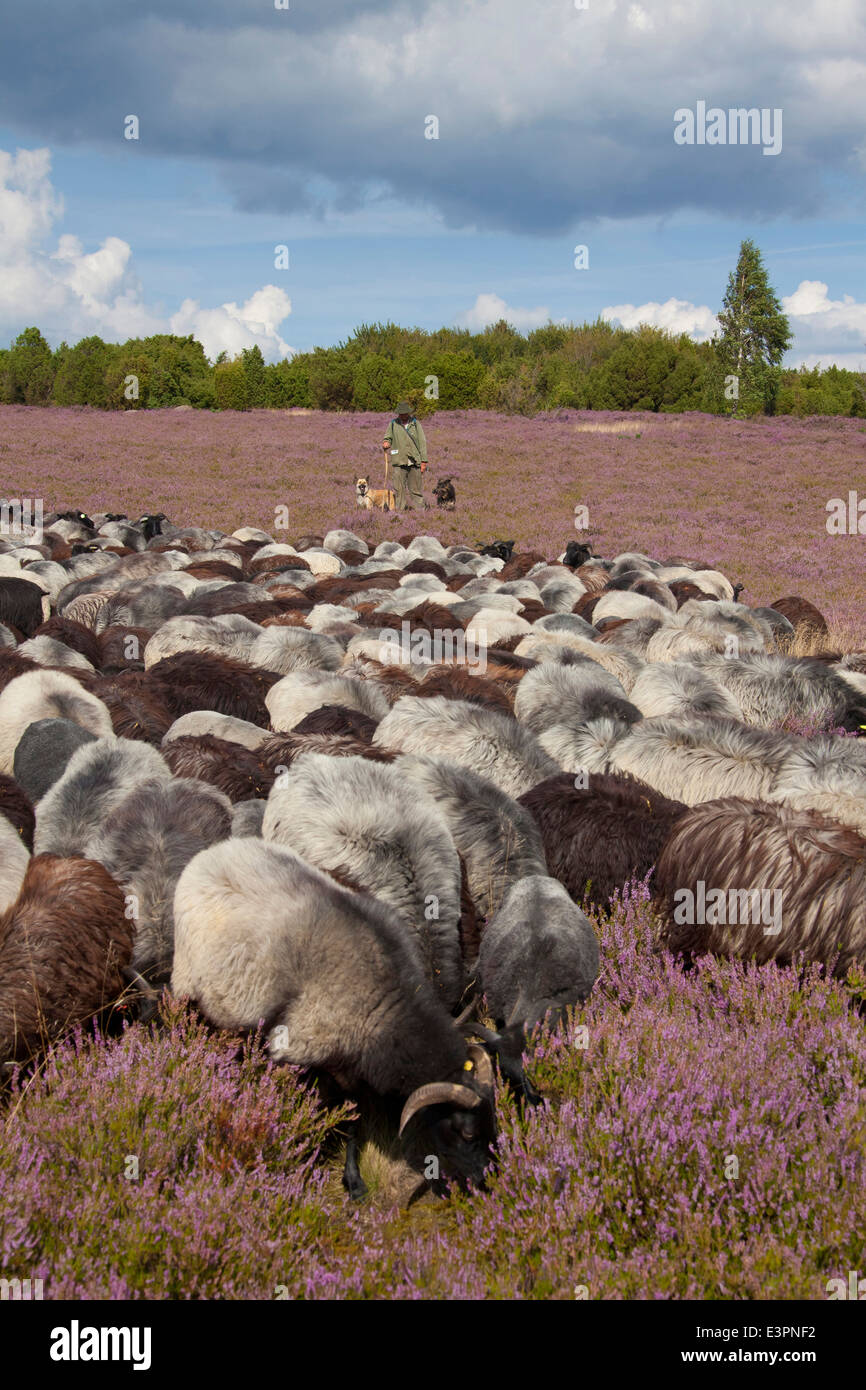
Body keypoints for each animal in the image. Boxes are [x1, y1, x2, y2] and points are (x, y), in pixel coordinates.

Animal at [171, 837, 499, 1195]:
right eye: (466, 1132)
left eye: (493, 1120)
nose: (487, 1180)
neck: (383, 1002)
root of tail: (214, 851)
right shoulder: (299, 1052)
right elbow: (308, 1112)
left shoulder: (350, 1065)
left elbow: (353, 1119)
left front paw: (353, 1181)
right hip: (186, 983)